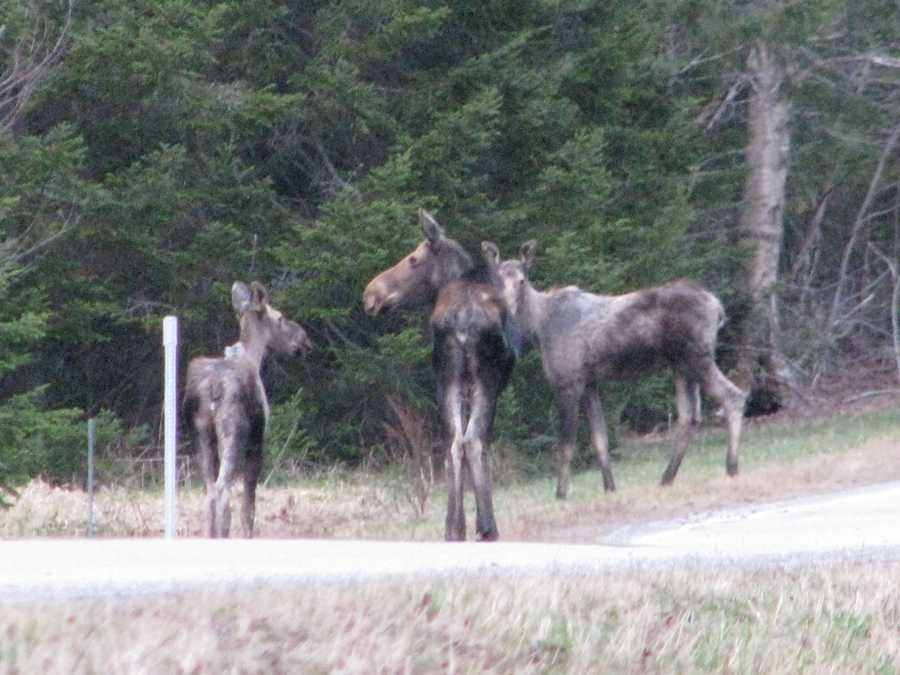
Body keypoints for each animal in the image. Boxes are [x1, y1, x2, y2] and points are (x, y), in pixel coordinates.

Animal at [183, 281, 312, 538]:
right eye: (280, 317)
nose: (304, 340)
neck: (254, 356)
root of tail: (212, 386)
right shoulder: (257, 440)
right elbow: (249, 506)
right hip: (234, 431)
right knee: (222, 489)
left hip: (201, 434)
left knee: (209, 492)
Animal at [363, 210, 519, 541]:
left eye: (413, 259)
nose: (370, 294)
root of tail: (462, 322)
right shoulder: (494, 386)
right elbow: (483, 444)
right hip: (483, 379)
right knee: (472, 440)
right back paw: (486, 527)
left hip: (446, 380)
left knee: (453, 443)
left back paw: (453, 527)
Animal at [486, 240, 747, 498]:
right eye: (497, 281)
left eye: (522, 281)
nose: (508, 312)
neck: (538, 328)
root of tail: (718, 307)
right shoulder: (590, 382)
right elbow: (600, 438)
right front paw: (610, 487)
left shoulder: (568, 381)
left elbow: (566, 443)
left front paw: (560, 494)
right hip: (681, 366)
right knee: (689, 417)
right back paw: (666, 478)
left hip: (698, 357)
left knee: (734, 396)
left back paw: (732, 468)